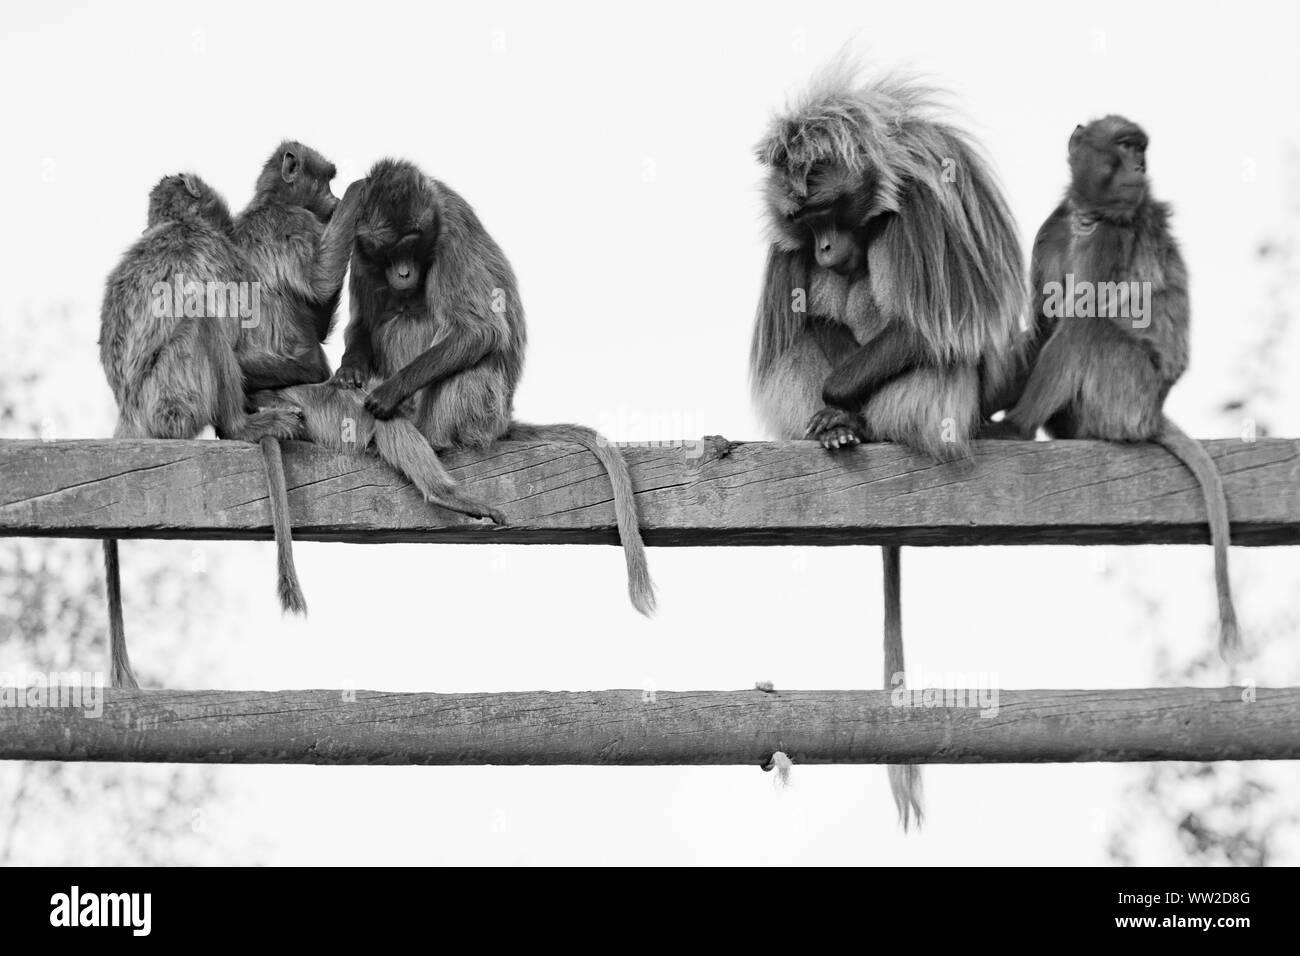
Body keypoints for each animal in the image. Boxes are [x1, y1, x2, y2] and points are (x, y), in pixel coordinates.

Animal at [97, 173, 302, 687]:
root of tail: (130, 414)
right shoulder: (218, 251)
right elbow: (235, 322)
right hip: (174, 398)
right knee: (203, 316)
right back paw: (240, 426)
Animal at [328, 158, 655, 614]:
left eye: (411, 245)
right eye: (388, 250)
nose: (403, 272)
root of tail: (503, 420)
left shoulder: (448, 233)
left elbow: (480, 331)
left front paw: (386, 393)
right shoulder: (359, 231)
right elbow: (362, 322)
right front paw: (350, 371)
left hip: (478, 410)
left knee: (456, 342)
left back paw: (429, 435)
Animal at [750, 64, 1027, 829]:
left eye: (824, 211)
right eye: (803, 221)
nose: (819, 246)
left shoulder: (928, 193)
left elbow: (944, 320)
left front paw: (837, 394)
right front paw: (826, 402)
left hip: (930, 402)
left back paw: (850, 416)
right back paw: (835, 421)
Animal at [1004, 116, 1240, 661]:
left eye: (1140, 150)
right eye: (1126, 147)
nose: (1139, 167)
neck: (1088, 218)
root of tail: (1154, 409)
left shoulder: (1112, 239)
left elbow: (1077, 318)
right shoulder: (1053, 229)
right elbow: (1042, 325)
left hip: (1124, 391)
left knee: (1087, 330)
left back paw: (1018, 429)